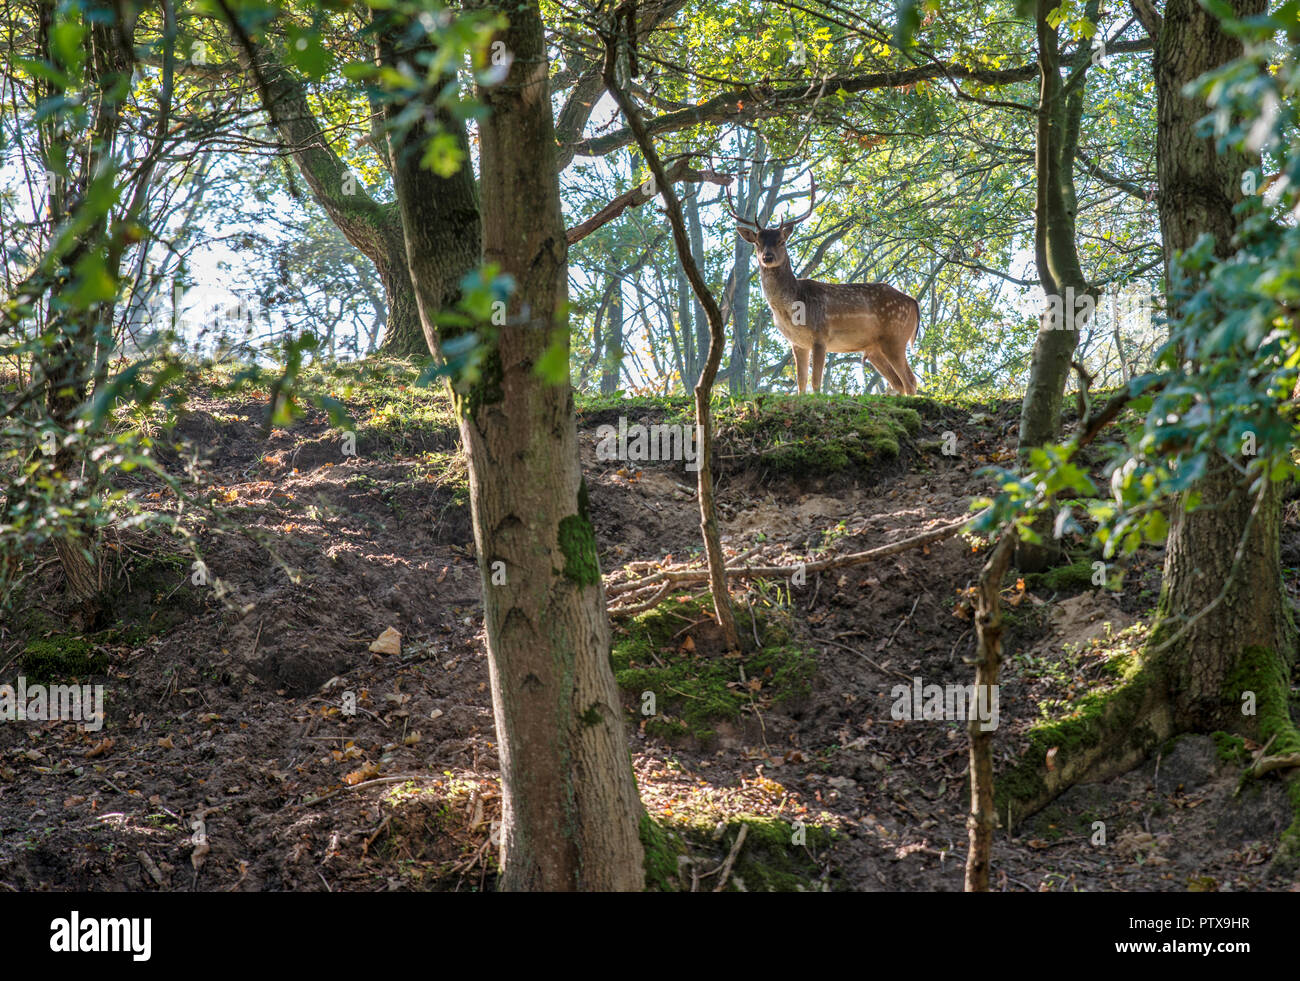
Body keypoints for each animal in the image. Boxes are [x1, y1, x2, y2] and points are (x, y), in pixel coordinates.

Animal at [727, 177, 920, 396]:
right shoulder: (797, 343)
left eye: (781, 241)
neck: (792, 308)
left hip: (895, 337)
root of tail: (913, 301)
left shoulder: (820, 335)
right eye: (757, 242)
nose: (767, 257)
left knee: (910, 380)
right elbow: (801, 383)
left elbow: (815, 382)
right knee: (897, 382)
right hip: (874, 349)